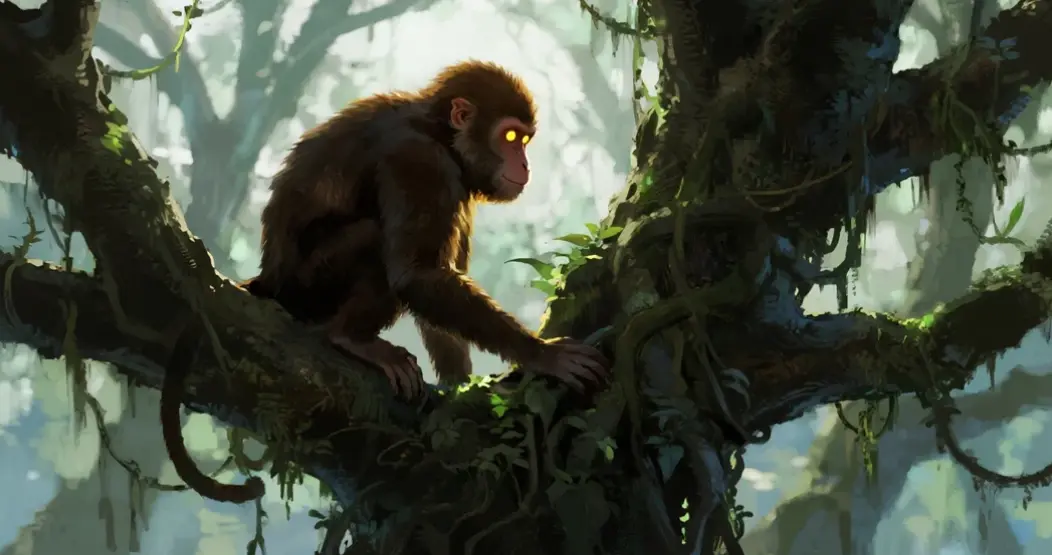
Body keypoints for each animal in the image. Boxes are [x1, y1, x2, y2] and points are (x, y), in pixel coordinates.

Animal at [241, 60, 610, 398]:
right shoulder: (419, 161)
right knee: (374, 239)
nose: (524, 163)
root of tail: (267, 282)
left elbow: (442, 278)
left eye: (525, 140)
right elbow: (418, 274)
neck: (442, 136)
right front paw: (542, 354)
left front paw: (461, 384)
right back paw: (350, 337)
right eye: (509, 137)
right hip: (305, 291)